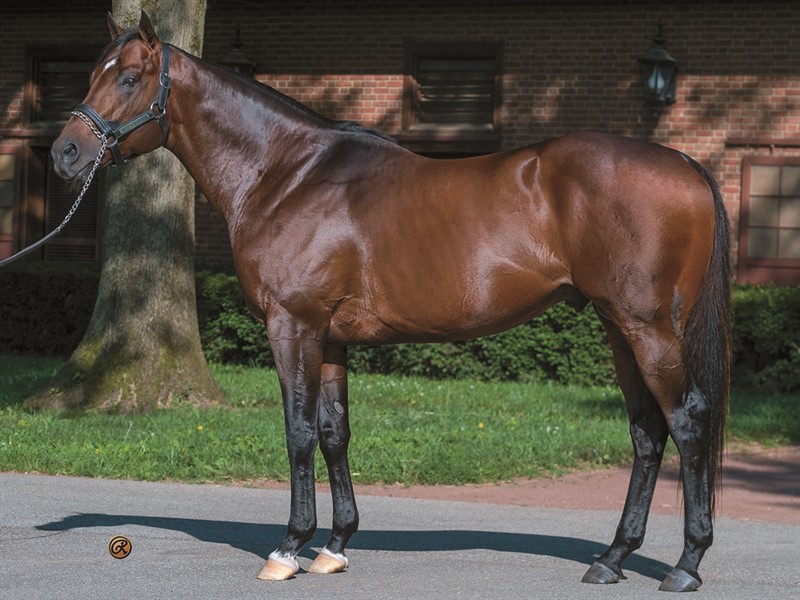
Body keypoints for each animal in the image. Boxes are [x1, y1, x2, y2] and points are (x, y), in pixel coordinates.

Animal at [51, 12, 731, 592]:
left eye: (129, 77)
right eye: (90, 75)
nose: (66, 154)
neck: (286, 175)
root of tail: (683, 163)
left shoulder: (292, 326)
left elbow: (298, 432)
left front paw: (288, 548)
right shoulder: (330, 337)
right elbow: (334, 433)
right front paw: (333, 546)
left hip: (648, 329)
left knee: (688, 421)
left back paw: (686, 564)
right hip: (619, 329)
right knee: (647, 432)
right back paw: (612, 558)